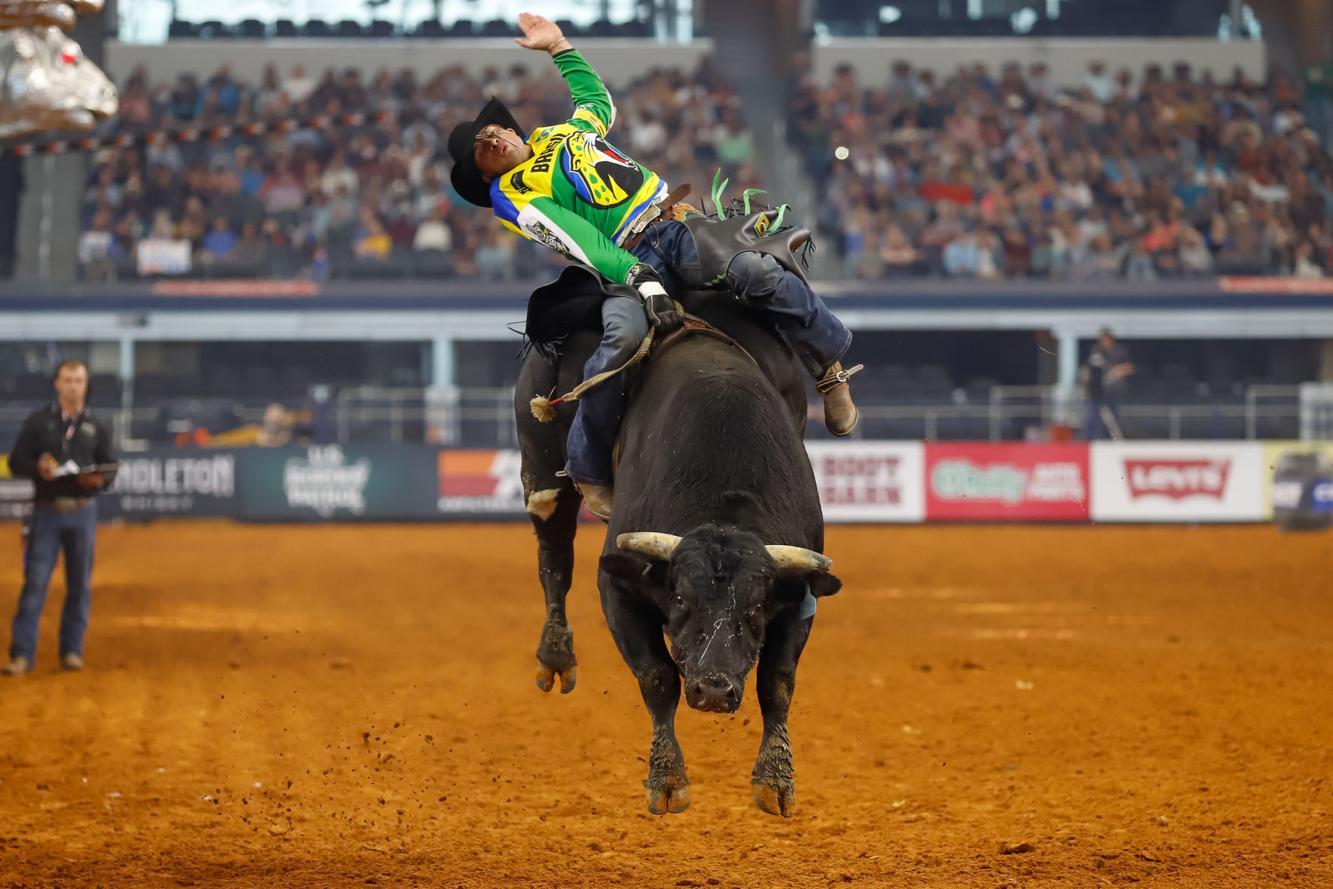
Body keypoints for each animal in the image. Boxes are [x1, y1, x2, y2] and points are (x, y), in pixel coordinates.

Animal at [515, 276, 840, 817]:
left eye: (756, 608)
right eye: (682, 598)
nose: (712, 690)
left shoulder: (802, 593)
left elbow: (777, 682)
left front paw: (775, 780)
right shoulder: (618, 587)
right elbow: (658, 677)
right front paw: (666, 779)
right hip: (541, 464)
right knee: (553, 557)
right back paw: (556, 656)